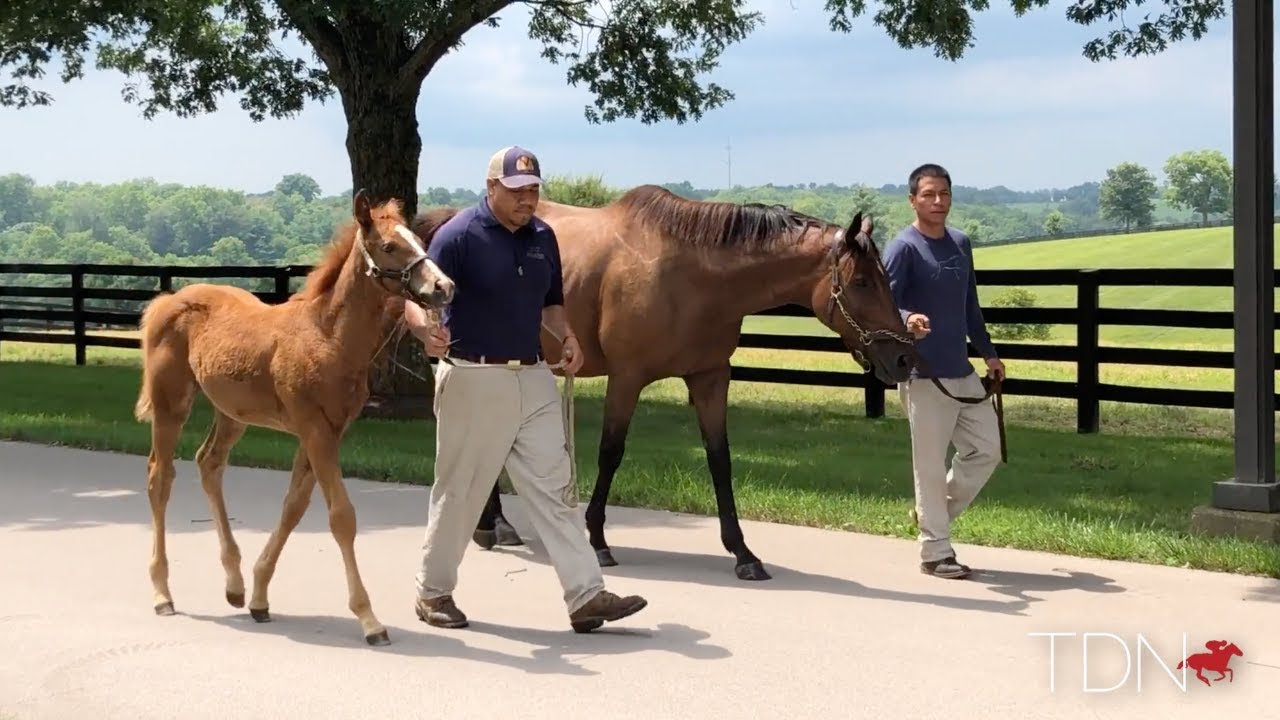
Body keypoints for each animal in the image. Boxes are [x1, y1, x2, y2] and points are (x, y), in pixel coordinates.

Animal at [133, 190, 455, 646]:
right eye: (390, 246)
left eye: (419, 240)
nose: (444, 287)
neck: (328, 337)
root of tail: (167, 300)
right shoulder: (315, 430)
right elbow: (341, 516)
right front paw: (369, 619)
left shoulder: (328, 430)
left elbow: (294, 506)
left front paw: (259, 597)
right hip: (171, 403)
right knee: (160, 476)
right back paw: (163, 592)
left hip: (232, 413)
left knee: (209, 463)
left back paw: (234, 584)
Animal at [410, 184, 916, 581]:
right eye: (864, 281)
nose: (904, 358)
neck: (692, 277)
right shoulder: (627, 377)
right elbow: (611, 453)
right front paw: (597, 540)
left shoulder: (711, 378)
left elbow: (720, 459)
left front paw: (742, 552)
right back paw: (487, 526)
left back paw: (498, 524)